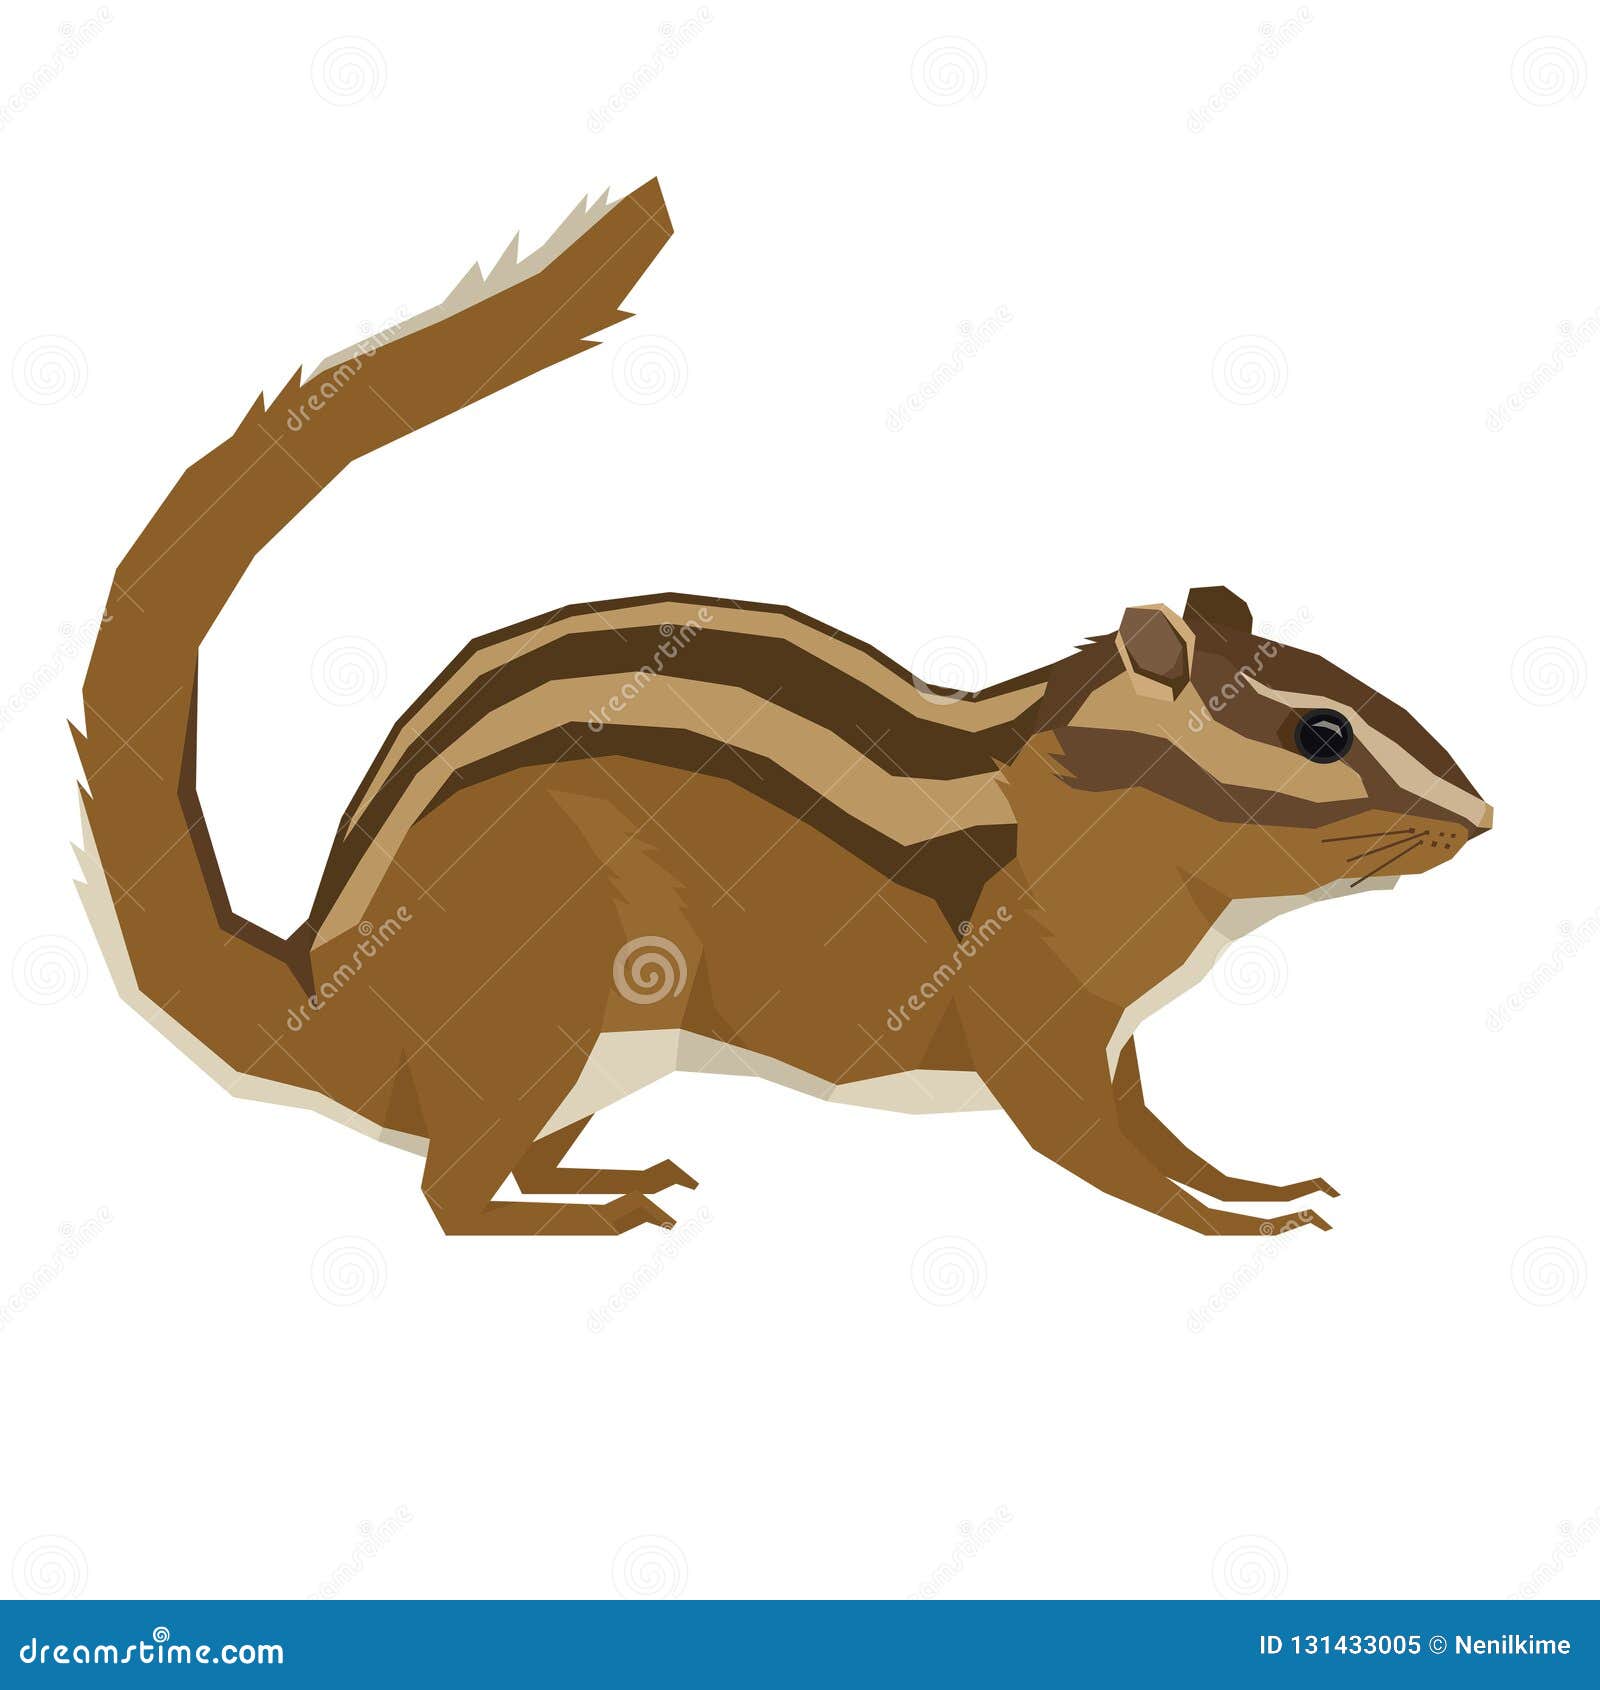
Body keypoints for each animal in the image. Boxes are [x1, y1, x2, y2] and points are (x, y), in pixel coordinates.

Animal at [75, 178, 1492, 1239]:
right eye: (1319, 733)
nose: (1478, 819)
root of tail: (328, 996)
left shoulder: (1118, 1032)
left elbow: (1152, 1125)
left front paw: (1251, 1178)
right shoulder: (1038, 1011)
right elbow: (1093, 1142)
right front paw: (1231, 1219)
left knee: (493, 1162)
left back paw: (604, 1173)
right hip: (550, 999)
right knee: (450, 1194)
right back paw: (582, 1212)